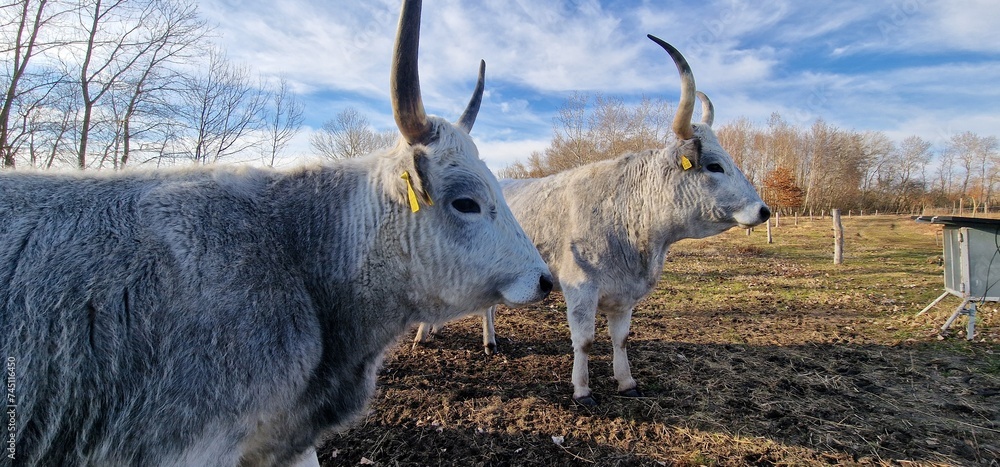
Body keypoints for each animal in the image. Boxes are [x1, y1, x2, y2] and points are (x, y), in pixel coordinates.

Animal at [414, 36, 770, 406]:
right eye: (715, 166)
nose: (764, 210)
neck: (630, 221)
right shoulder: (581, 289)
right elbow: (584, 341)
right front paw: (582, 389)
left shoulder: (625, 295)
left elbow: (620, 339)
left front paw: (626, 381)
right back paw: (439, 336)